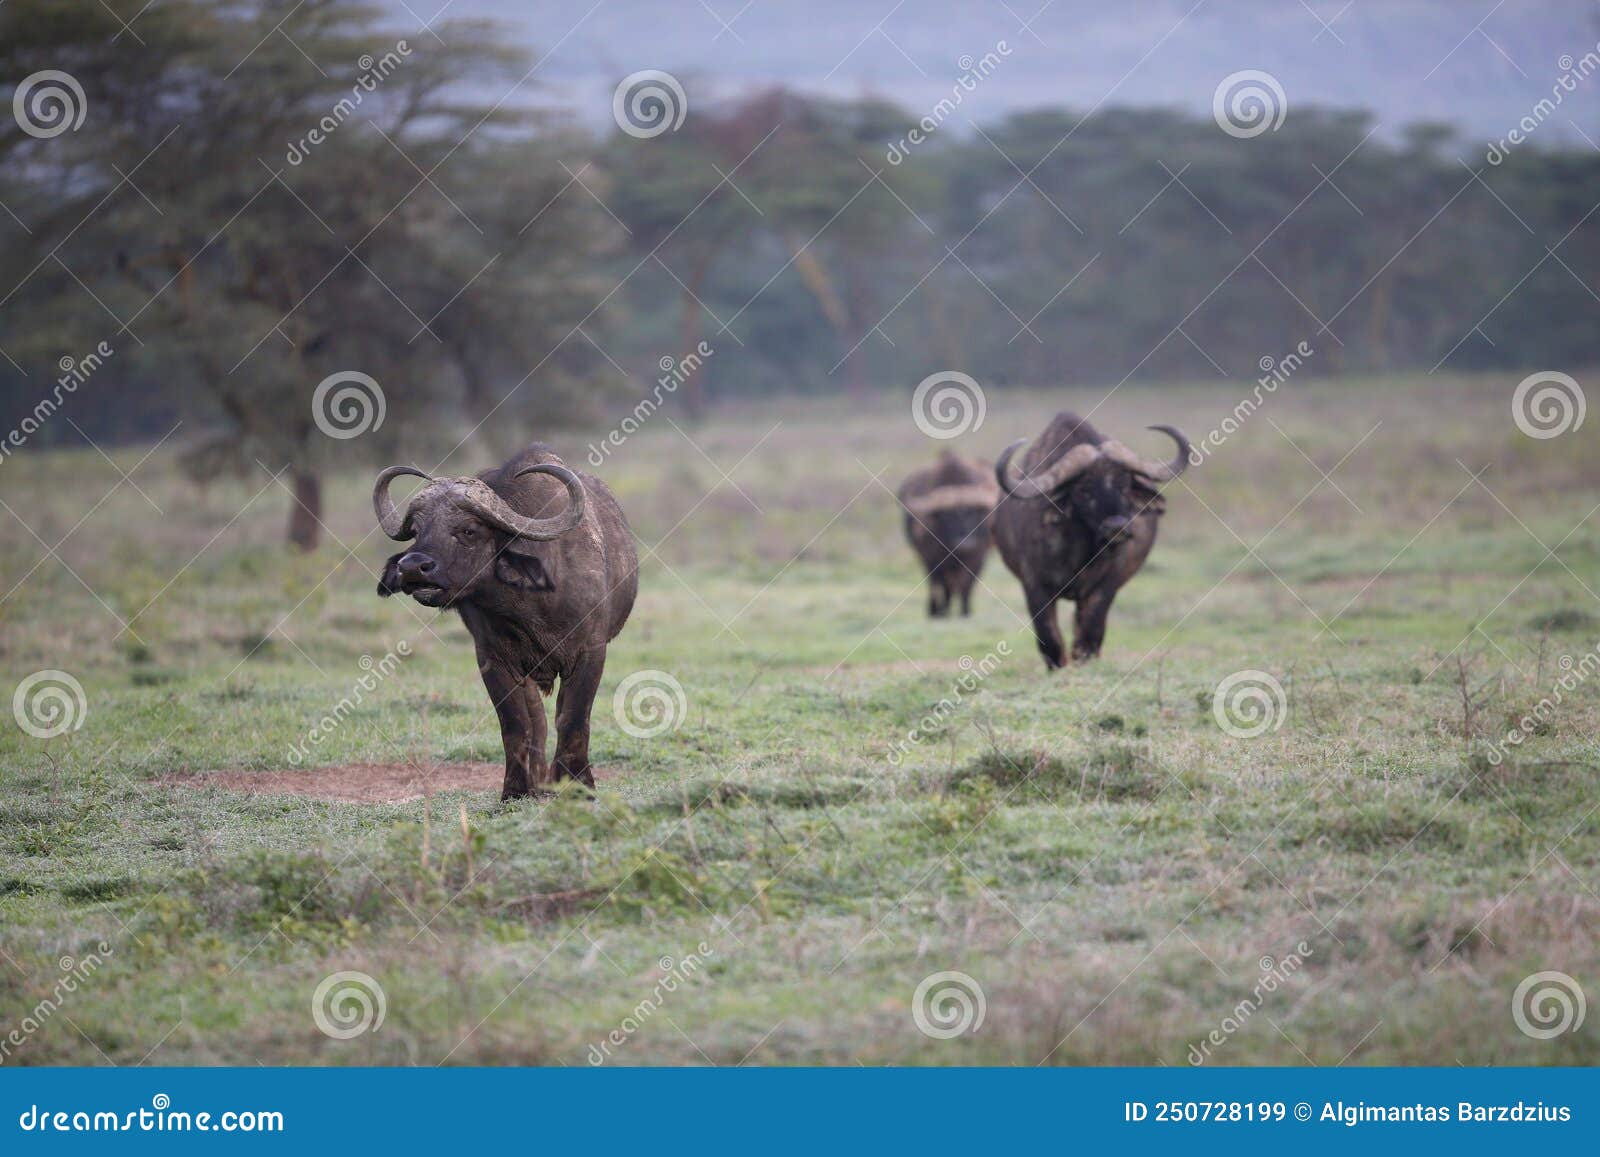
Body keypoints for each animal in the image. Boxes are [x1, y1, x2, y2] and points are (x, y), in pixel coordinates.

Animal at [374, 444, 638, 799]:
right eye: (416, 531)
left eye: (469, 530)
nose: (413, 567)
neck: (529, 605)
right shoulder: (493, 659)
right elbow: (515, 724)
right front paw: (515, 790)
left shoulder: (590, 652)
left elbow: (574, 718)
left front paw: (579, 784)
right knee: (538, 721)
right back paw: (539, 779)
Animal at [897, 450, 999, 617]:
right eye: (947, 517)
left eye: (976, 515)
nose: (966, 544)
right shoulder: (932, 559)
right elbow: (941, 586)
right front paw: (940, 612)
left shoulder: (978, 559)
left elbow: (966, 586)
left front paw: (965, 612)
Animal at [992, 412, 1190, 669]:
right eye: (1083, 489)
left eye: (1124, 485)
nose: (1117, 526)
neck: (1078, 555)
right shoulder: (1033, 584)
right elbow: (1048, 635)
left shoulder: (1107, 584)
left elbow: (1091, 630)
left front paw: (1083, 660)